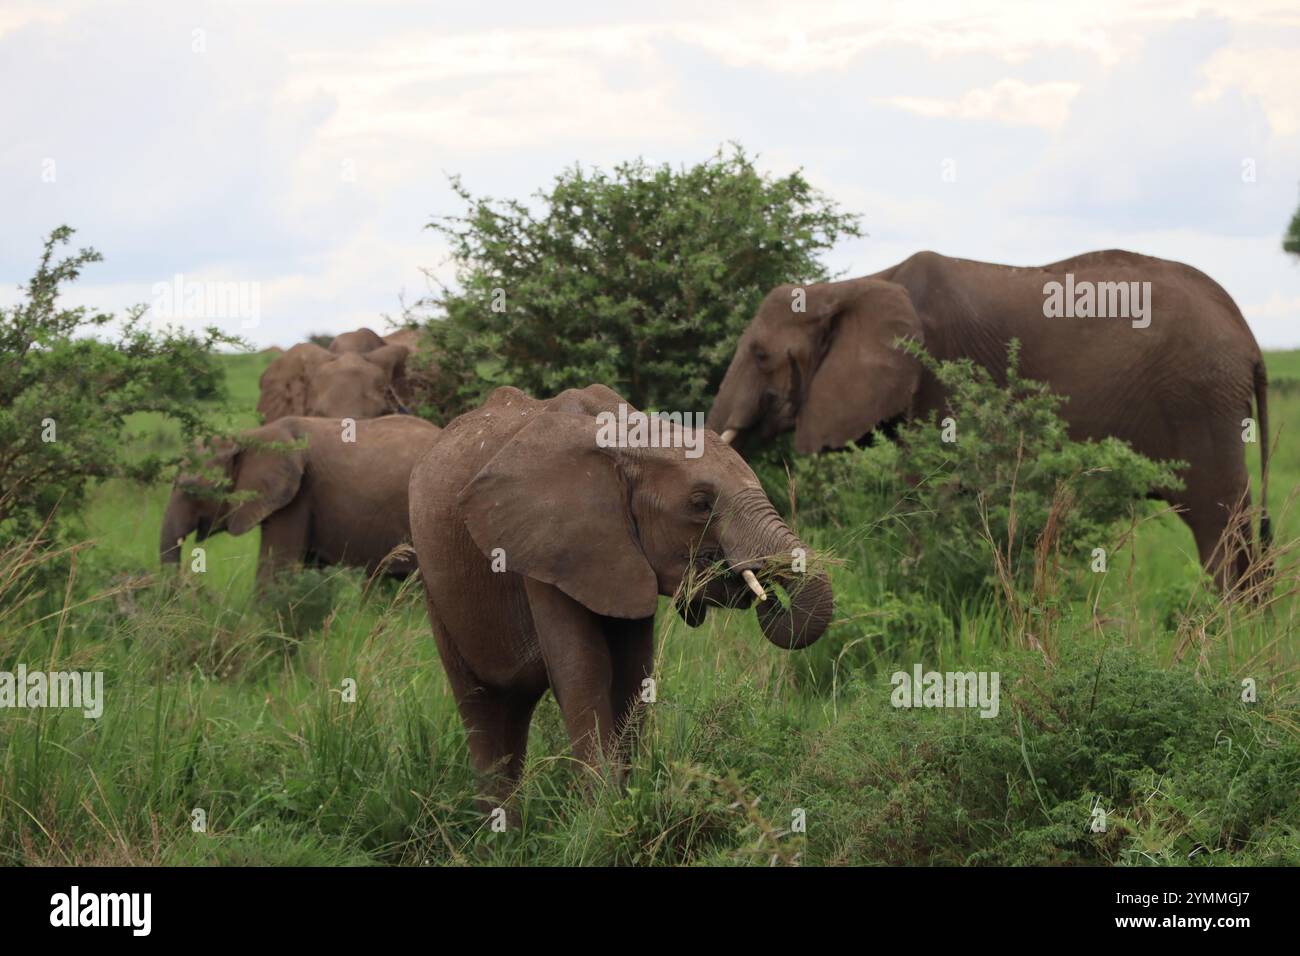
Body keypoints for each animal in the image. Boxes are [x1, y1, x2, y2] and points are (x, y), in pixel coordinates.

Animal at [409, 384, 834, 802]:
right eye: (700, 504)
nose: (769, 594)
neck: (628, 437)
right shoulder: (547, 543)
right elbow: (582, 670)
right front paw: (602, 811)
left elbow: (633, 670)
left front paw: (629, 794)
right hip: (435, 589)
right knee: (481, 709)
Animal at [706, 249, 1271, 588]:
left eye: (760, 355)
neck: (853, 285)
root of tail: (1249, 336)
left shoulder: (941, 373)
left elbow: (924, 492)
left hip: (1202, 400)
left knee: (1218, 521)